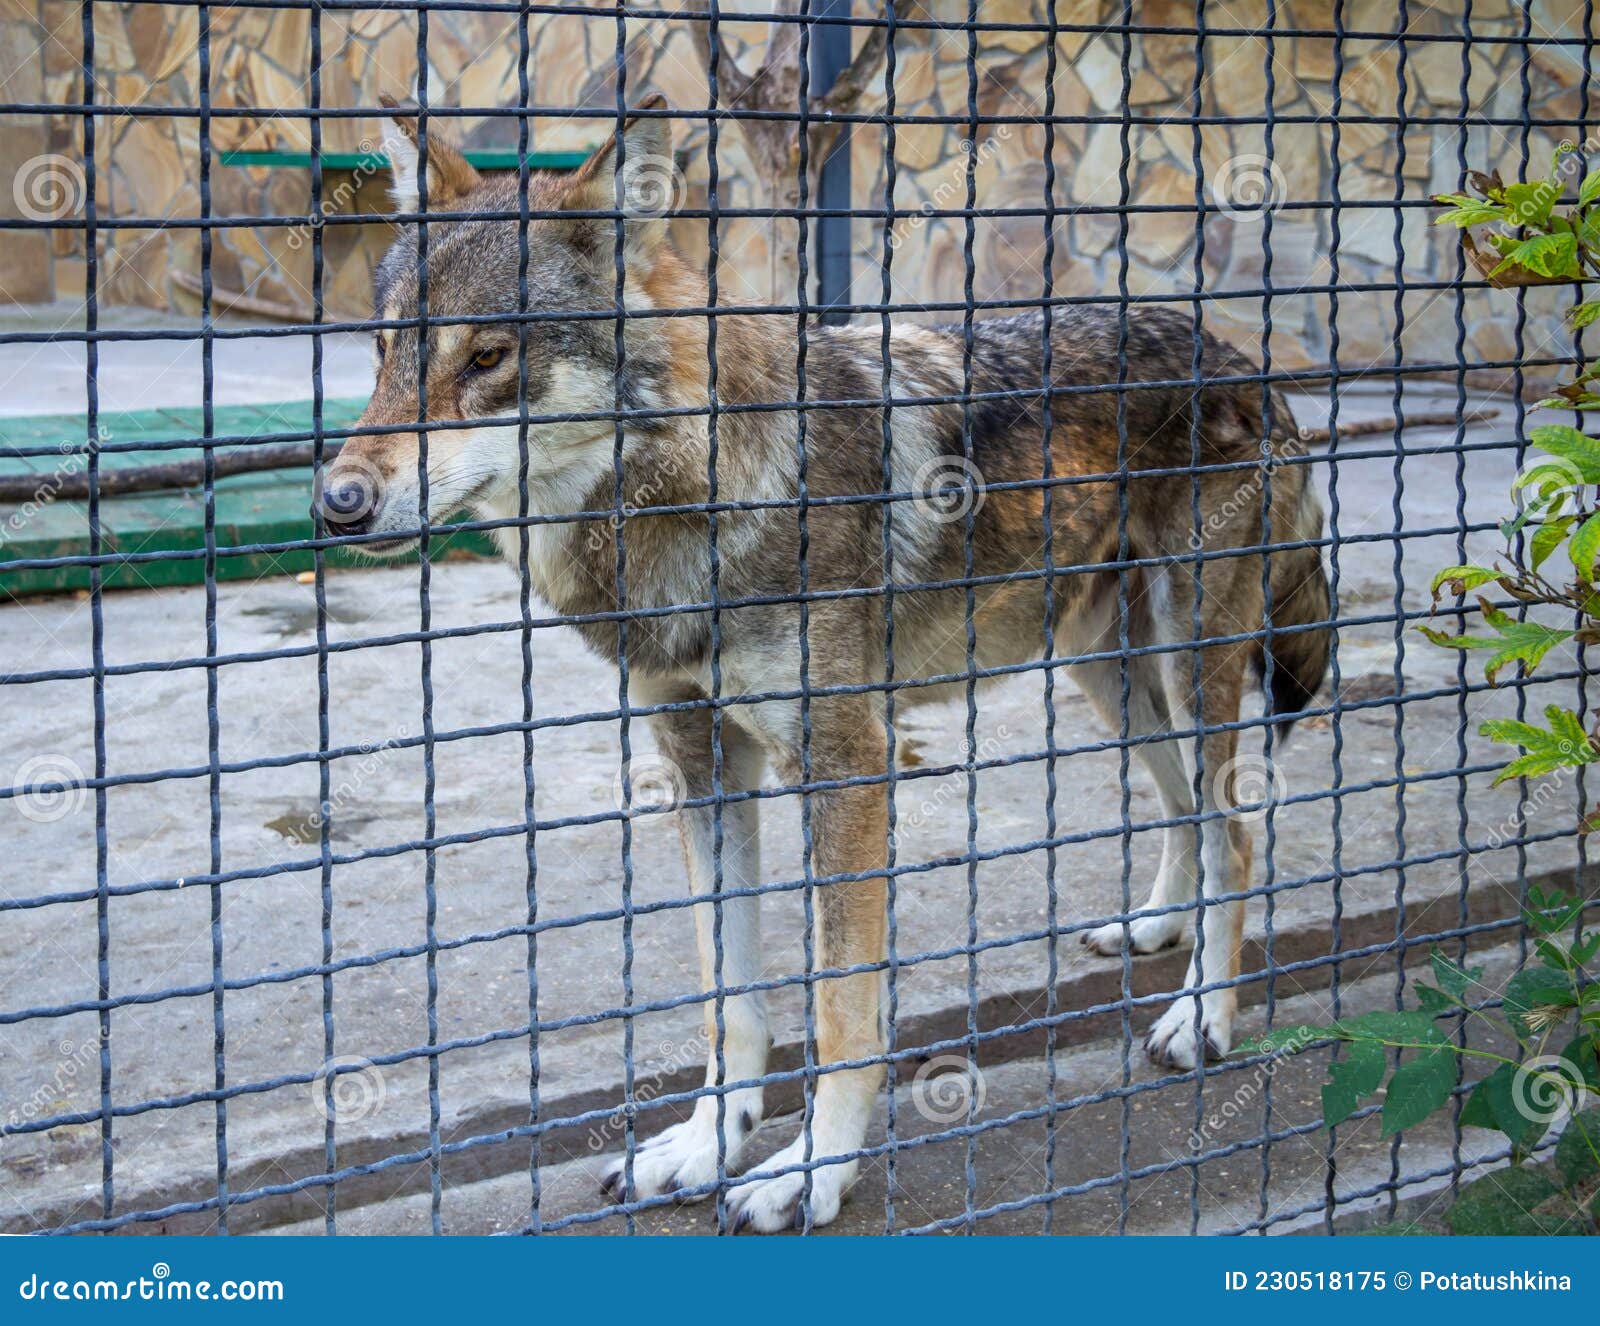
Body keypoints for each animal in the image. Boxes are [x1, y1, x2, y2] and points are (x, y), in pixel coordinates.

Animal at [319, 95, 1331, 1231]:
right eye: (381, 354)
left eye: (488, 357)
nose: (337, 503)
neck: (692, 493)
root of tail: (1239, 354)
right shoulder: (700, 761)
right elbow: (731, 1002)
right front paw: (702, 1148)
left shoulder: (846, 768)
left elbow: (843, 1012)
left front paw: (808, 1174)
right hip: (1106, 672)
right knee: (1183, 809)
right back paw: (1156, 932)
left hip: (1187, 665)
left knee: (1237, 830)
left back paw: (1200, 1019)